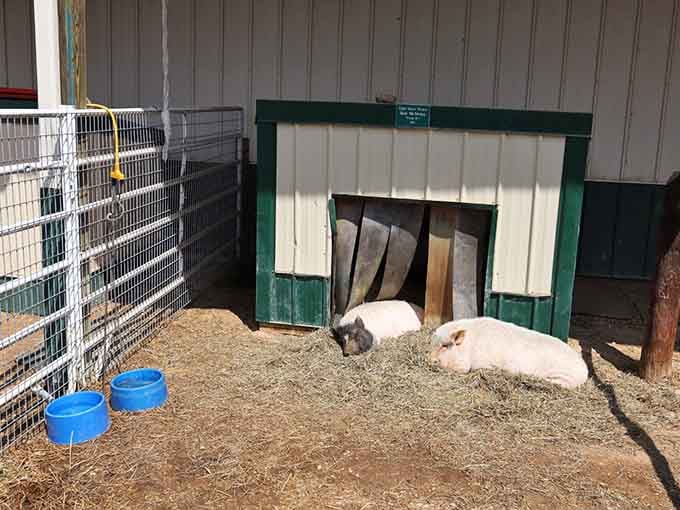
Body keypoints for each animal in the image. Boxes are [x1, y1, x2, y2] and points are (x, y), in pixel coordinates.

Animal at [430, 317, 588, 389]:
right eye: (432, 344)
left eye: (445, 345)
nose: (430, 360)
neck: (469, 346)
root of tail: (585, 369)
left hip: (565, 377)